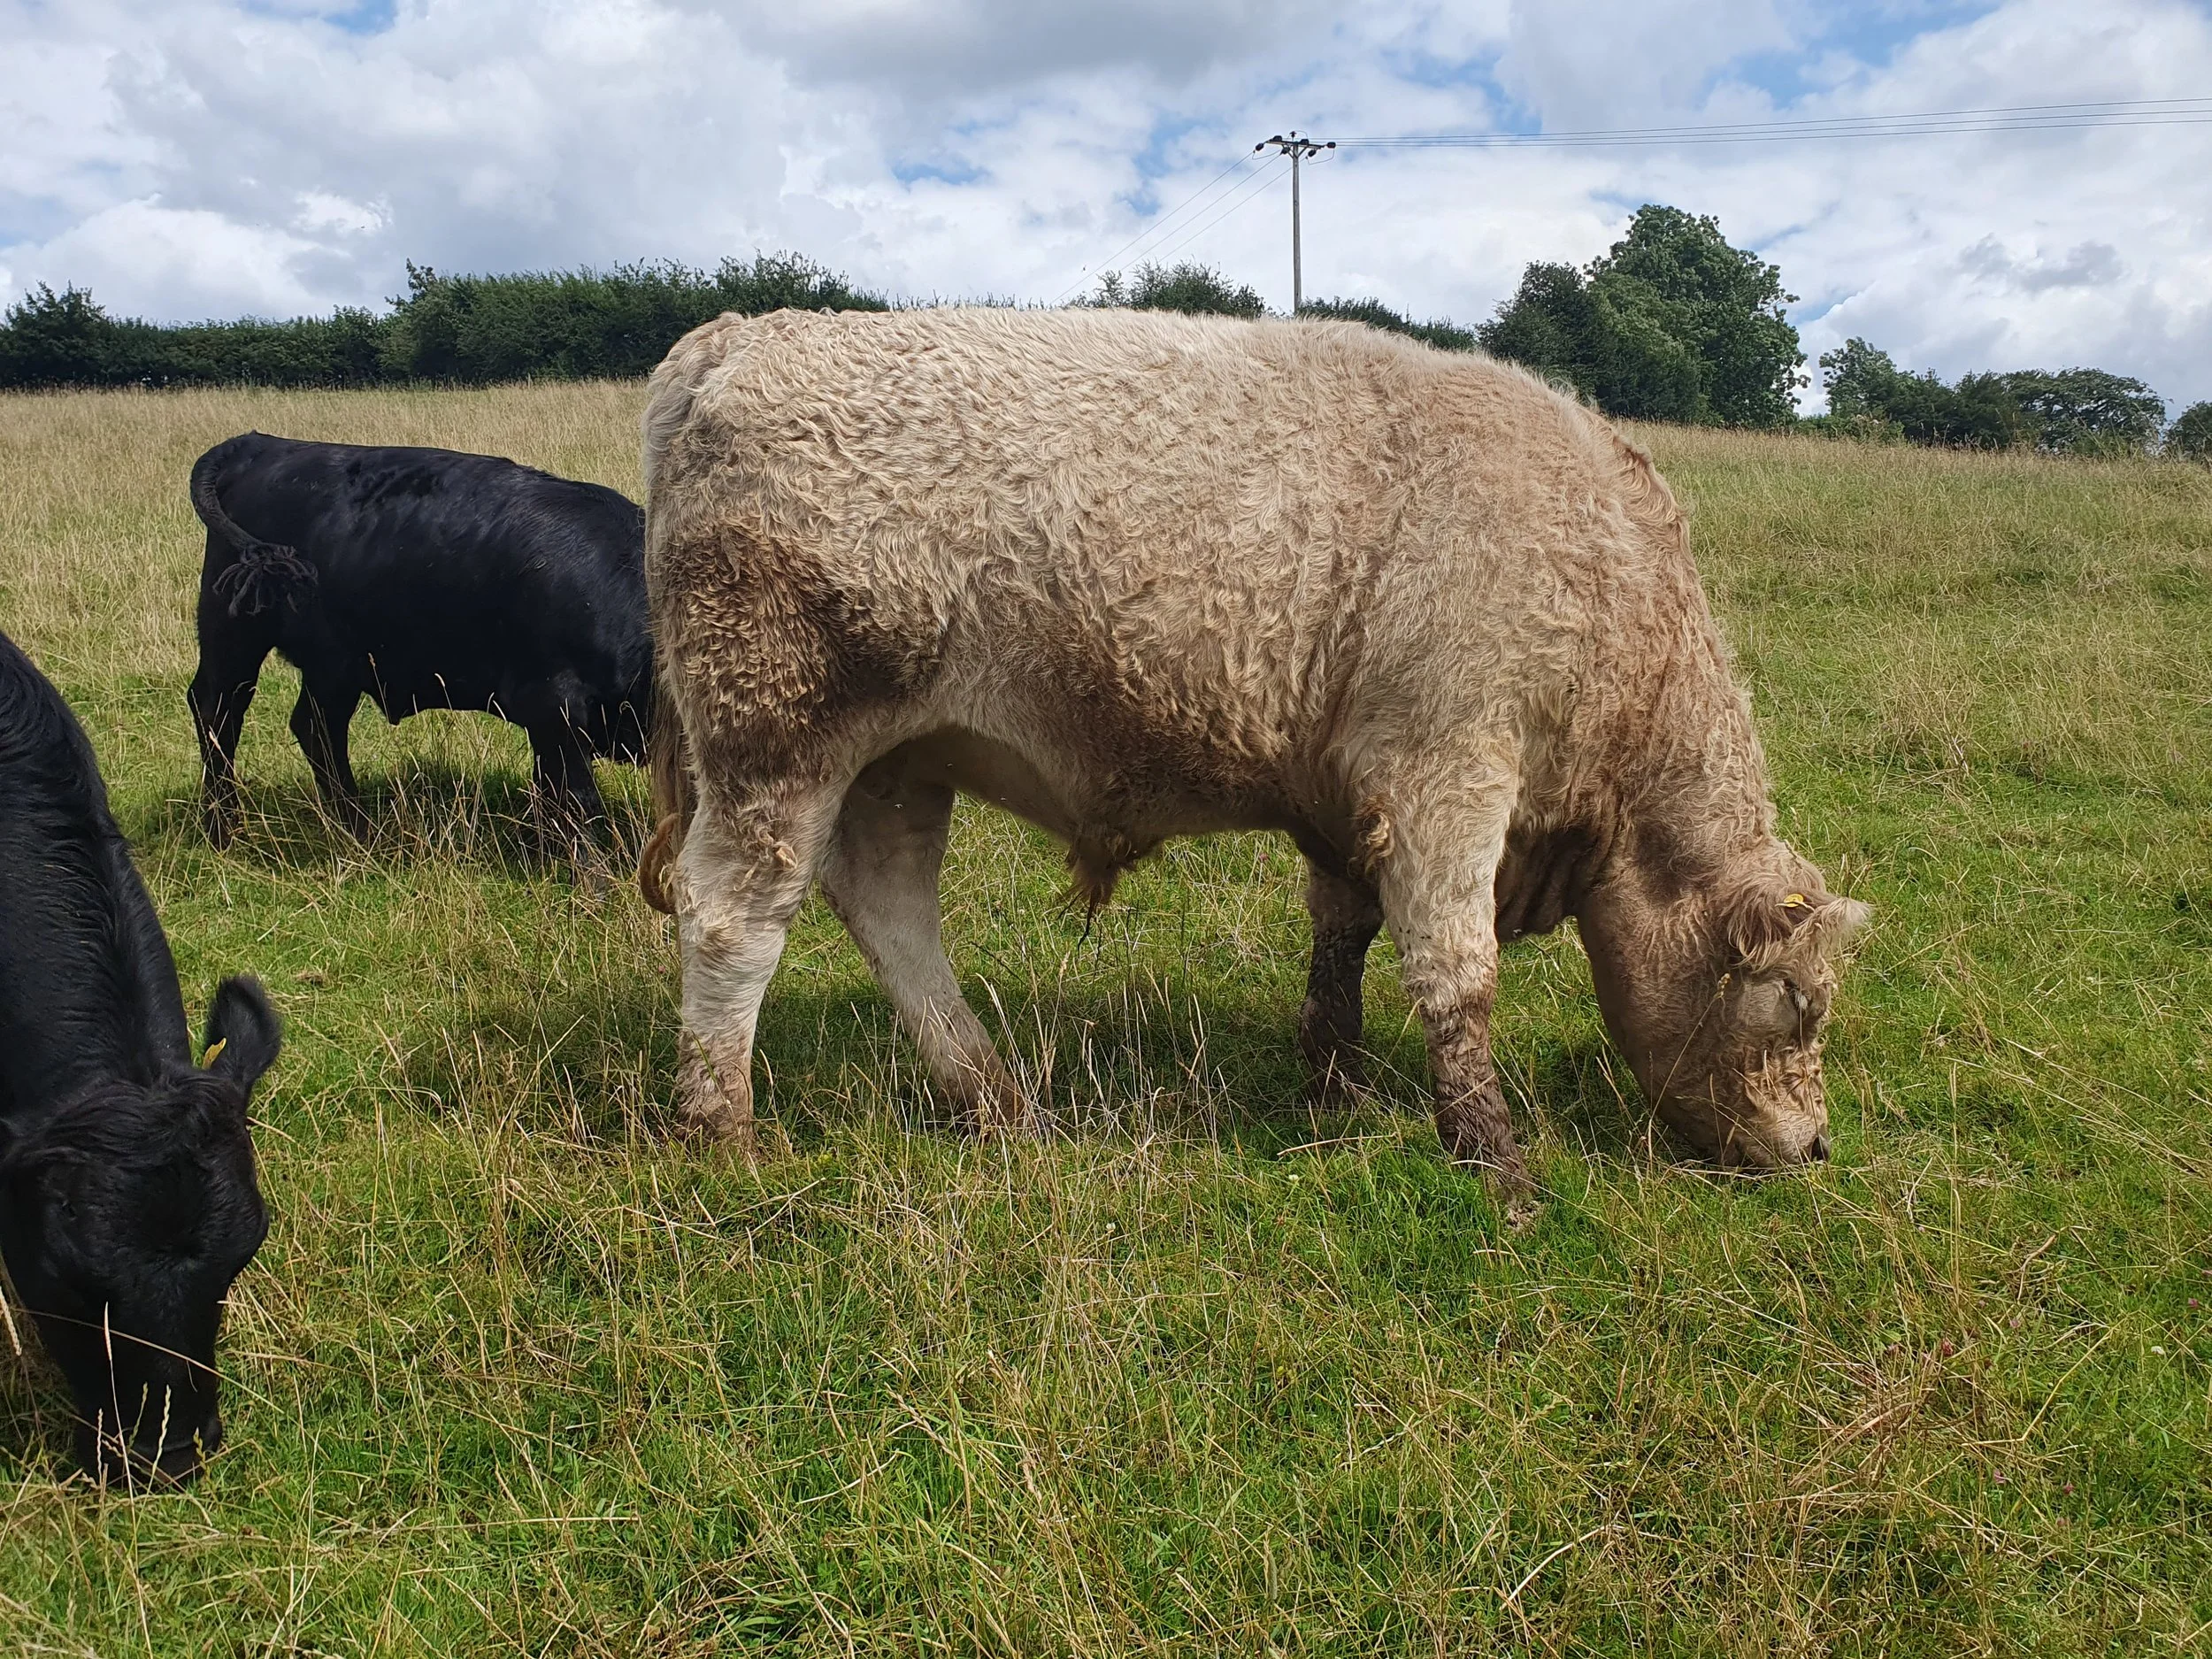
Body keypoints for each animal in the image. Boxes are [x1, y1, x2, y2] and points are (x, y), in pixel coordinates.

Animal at [186, 433, 652, 854]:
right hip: (234, 635)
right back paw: (223, 831)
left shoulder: (551, 724)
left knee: (317, 728)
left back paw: (360, 830)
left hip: (335, 665)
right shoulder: (555, 707)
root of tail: (256, 443)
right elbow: (577, 799)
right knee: (217, 712)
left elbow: (550, 792)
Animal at [635, 307, 1870, 1195]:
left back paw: (996, 1100)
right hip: (777, 737)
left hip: (899, 765)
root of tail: (741, 334)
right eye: (1796, 1005)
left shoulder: (1352, 797)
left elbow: (1343, 939)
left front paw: (1334, 1087)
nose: (1813, 1148)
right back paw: (722, 1130)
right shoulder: (1448, 768)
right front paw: (1493, 1162)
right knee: (734, 919)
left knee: (889, 913)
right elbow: (1456, 971)